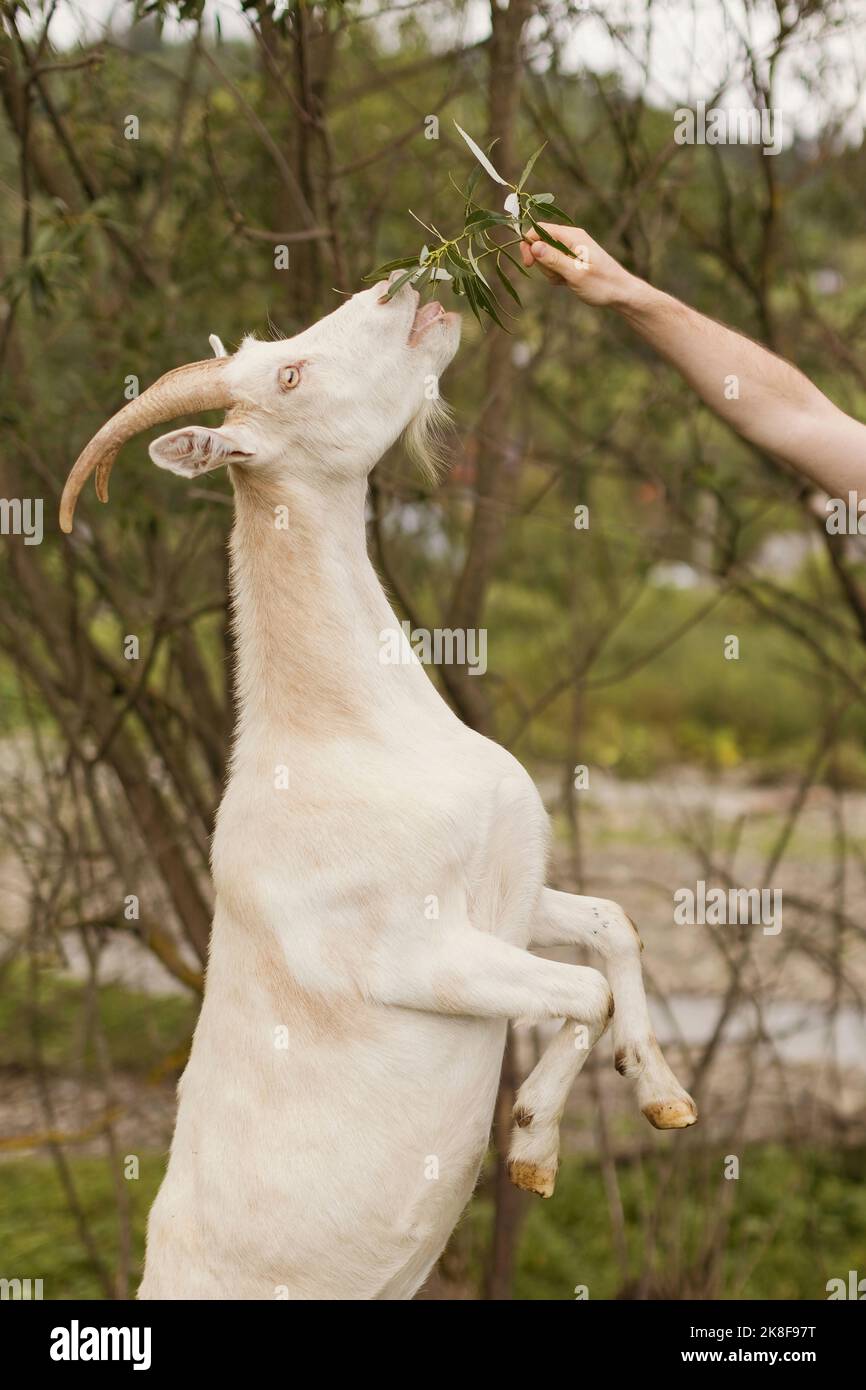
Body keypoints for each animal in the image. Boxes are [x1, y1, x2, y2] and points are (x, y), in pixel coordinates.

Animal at [60, 274, 696, 1301]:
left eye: (277, 349)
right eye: (289, 373)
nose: (407, 288)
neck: (352, 733)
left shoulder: (508, 898)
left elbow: (613, 927)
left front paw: (667, 1098)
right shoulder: (419, 954)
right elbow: (583, 992)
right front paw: (533, 1151)